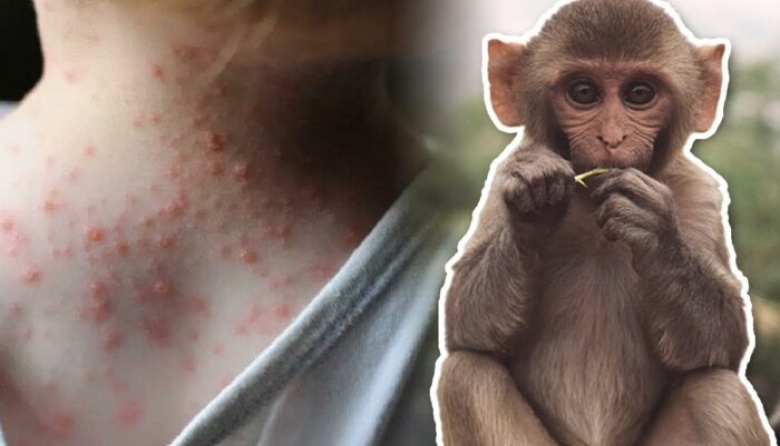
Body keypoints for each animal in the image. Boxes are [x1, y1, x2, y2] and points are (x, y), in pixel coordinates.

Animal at [433, 0, 776, 445]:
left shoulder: (699, 193)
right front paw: (533, 205)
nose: (611, 138)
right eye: (583, 92)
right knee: (466, 372)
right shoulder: (501, 179)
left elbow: (725, 340)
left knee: (716, 388)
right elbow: (464, 321)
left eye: (639, 94)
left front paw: (654, 231)